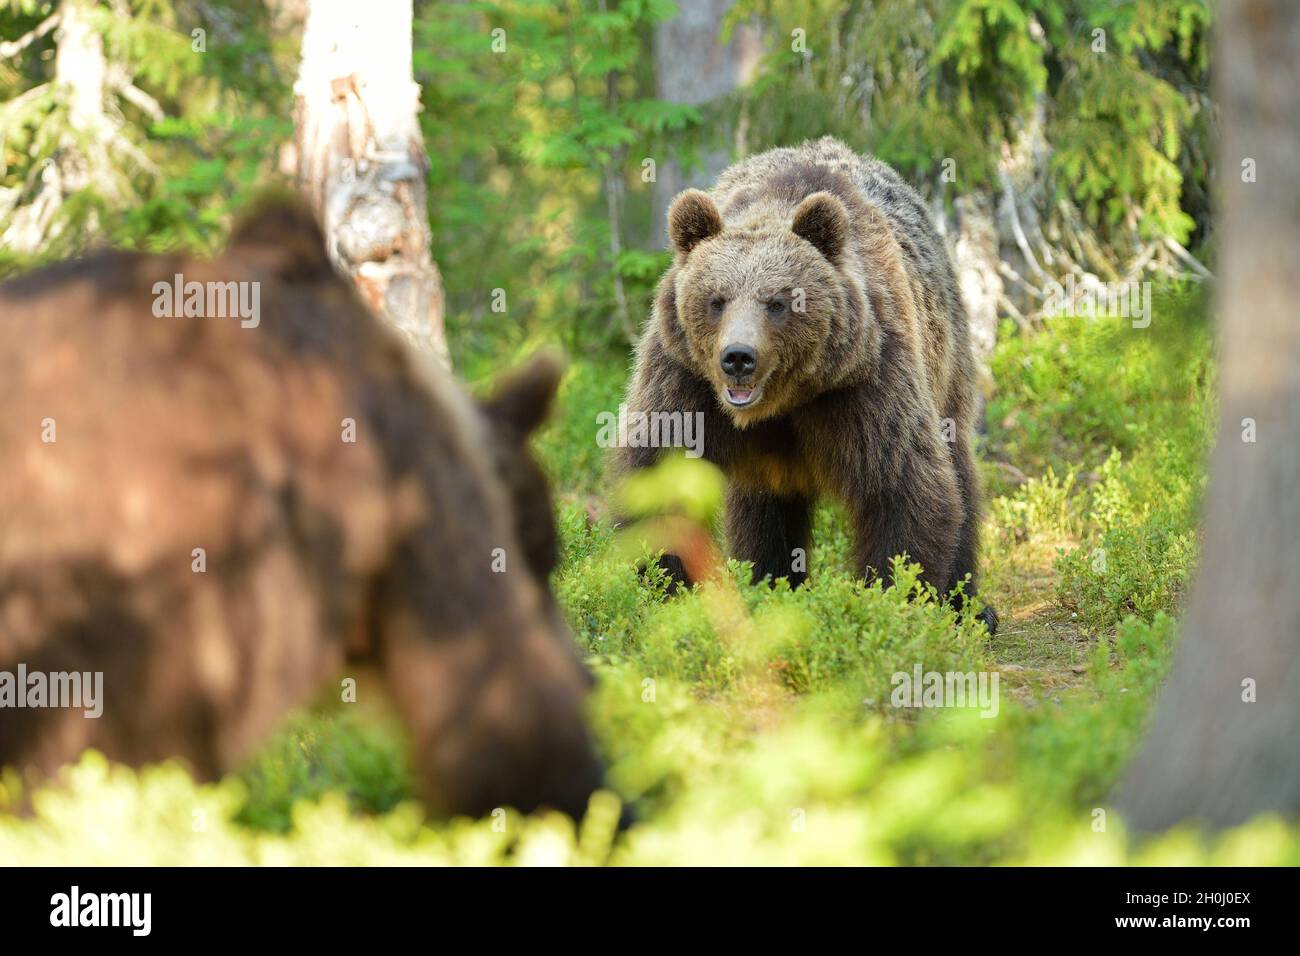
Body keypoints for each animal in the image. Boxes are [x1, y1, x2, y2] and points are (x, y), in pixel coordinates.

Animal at [618, 137, 997, 633]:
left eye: (778, 302)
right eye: (716, 299)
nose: (738, 358)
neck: (785, 401)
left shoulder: (867, 378)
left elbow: (902, 485)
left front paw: (889, 604)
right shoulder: (684, 379)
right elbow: (659, 480)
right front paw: (670, 595)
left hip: (945, 353)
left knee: (958, 467)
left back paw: (969, 605)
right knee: (764, 507)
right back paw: (770, 583)